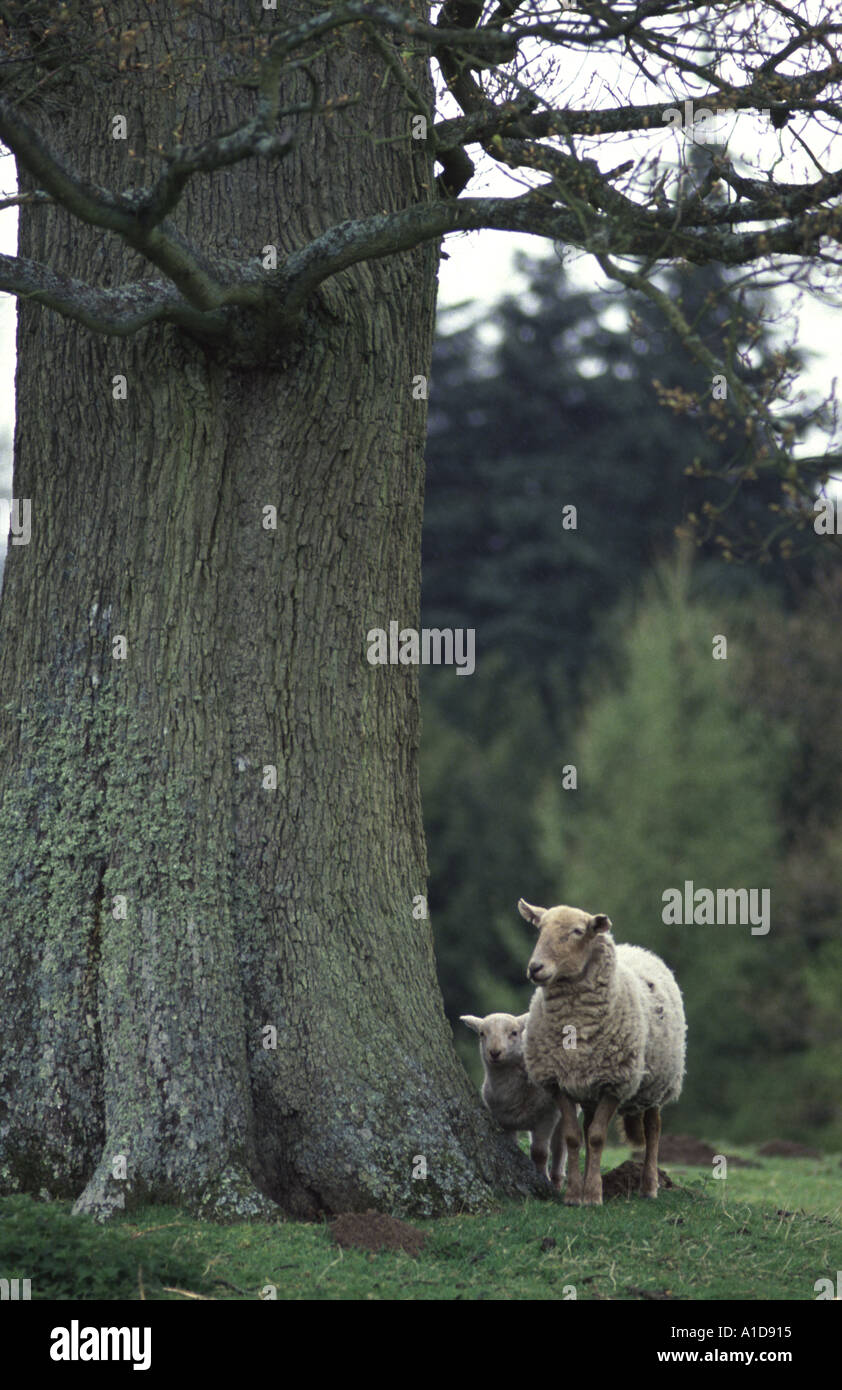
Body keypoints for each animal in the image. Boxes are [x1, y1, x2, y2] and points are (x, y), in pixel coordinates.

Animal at [460, 1011, 567, 1188]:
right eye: (482, 1033)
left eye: (514, 1033)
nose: (494, 1052)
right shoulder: (504, 1121)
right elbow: (514, 1149)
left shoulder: (547, 1117)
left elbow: (540, 1153)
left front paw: (542, 1177)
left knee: (560, 1148)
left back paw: (557, 1182)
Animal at [518, 899, 686, 1206]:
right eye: (540, 928)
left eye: (577, 931)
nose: (535, 968)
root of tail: (636, 948)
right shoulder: (558, 1081)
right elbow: (574, 1137)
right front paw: (575, 1194)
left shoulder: (616, 1081)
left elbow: (597, 1137)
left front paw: (594, 1195)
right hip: (590, 1089)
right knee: (588, 1127)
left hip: (658, 1082)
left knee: (653, 1128)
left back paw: (649, 1186)